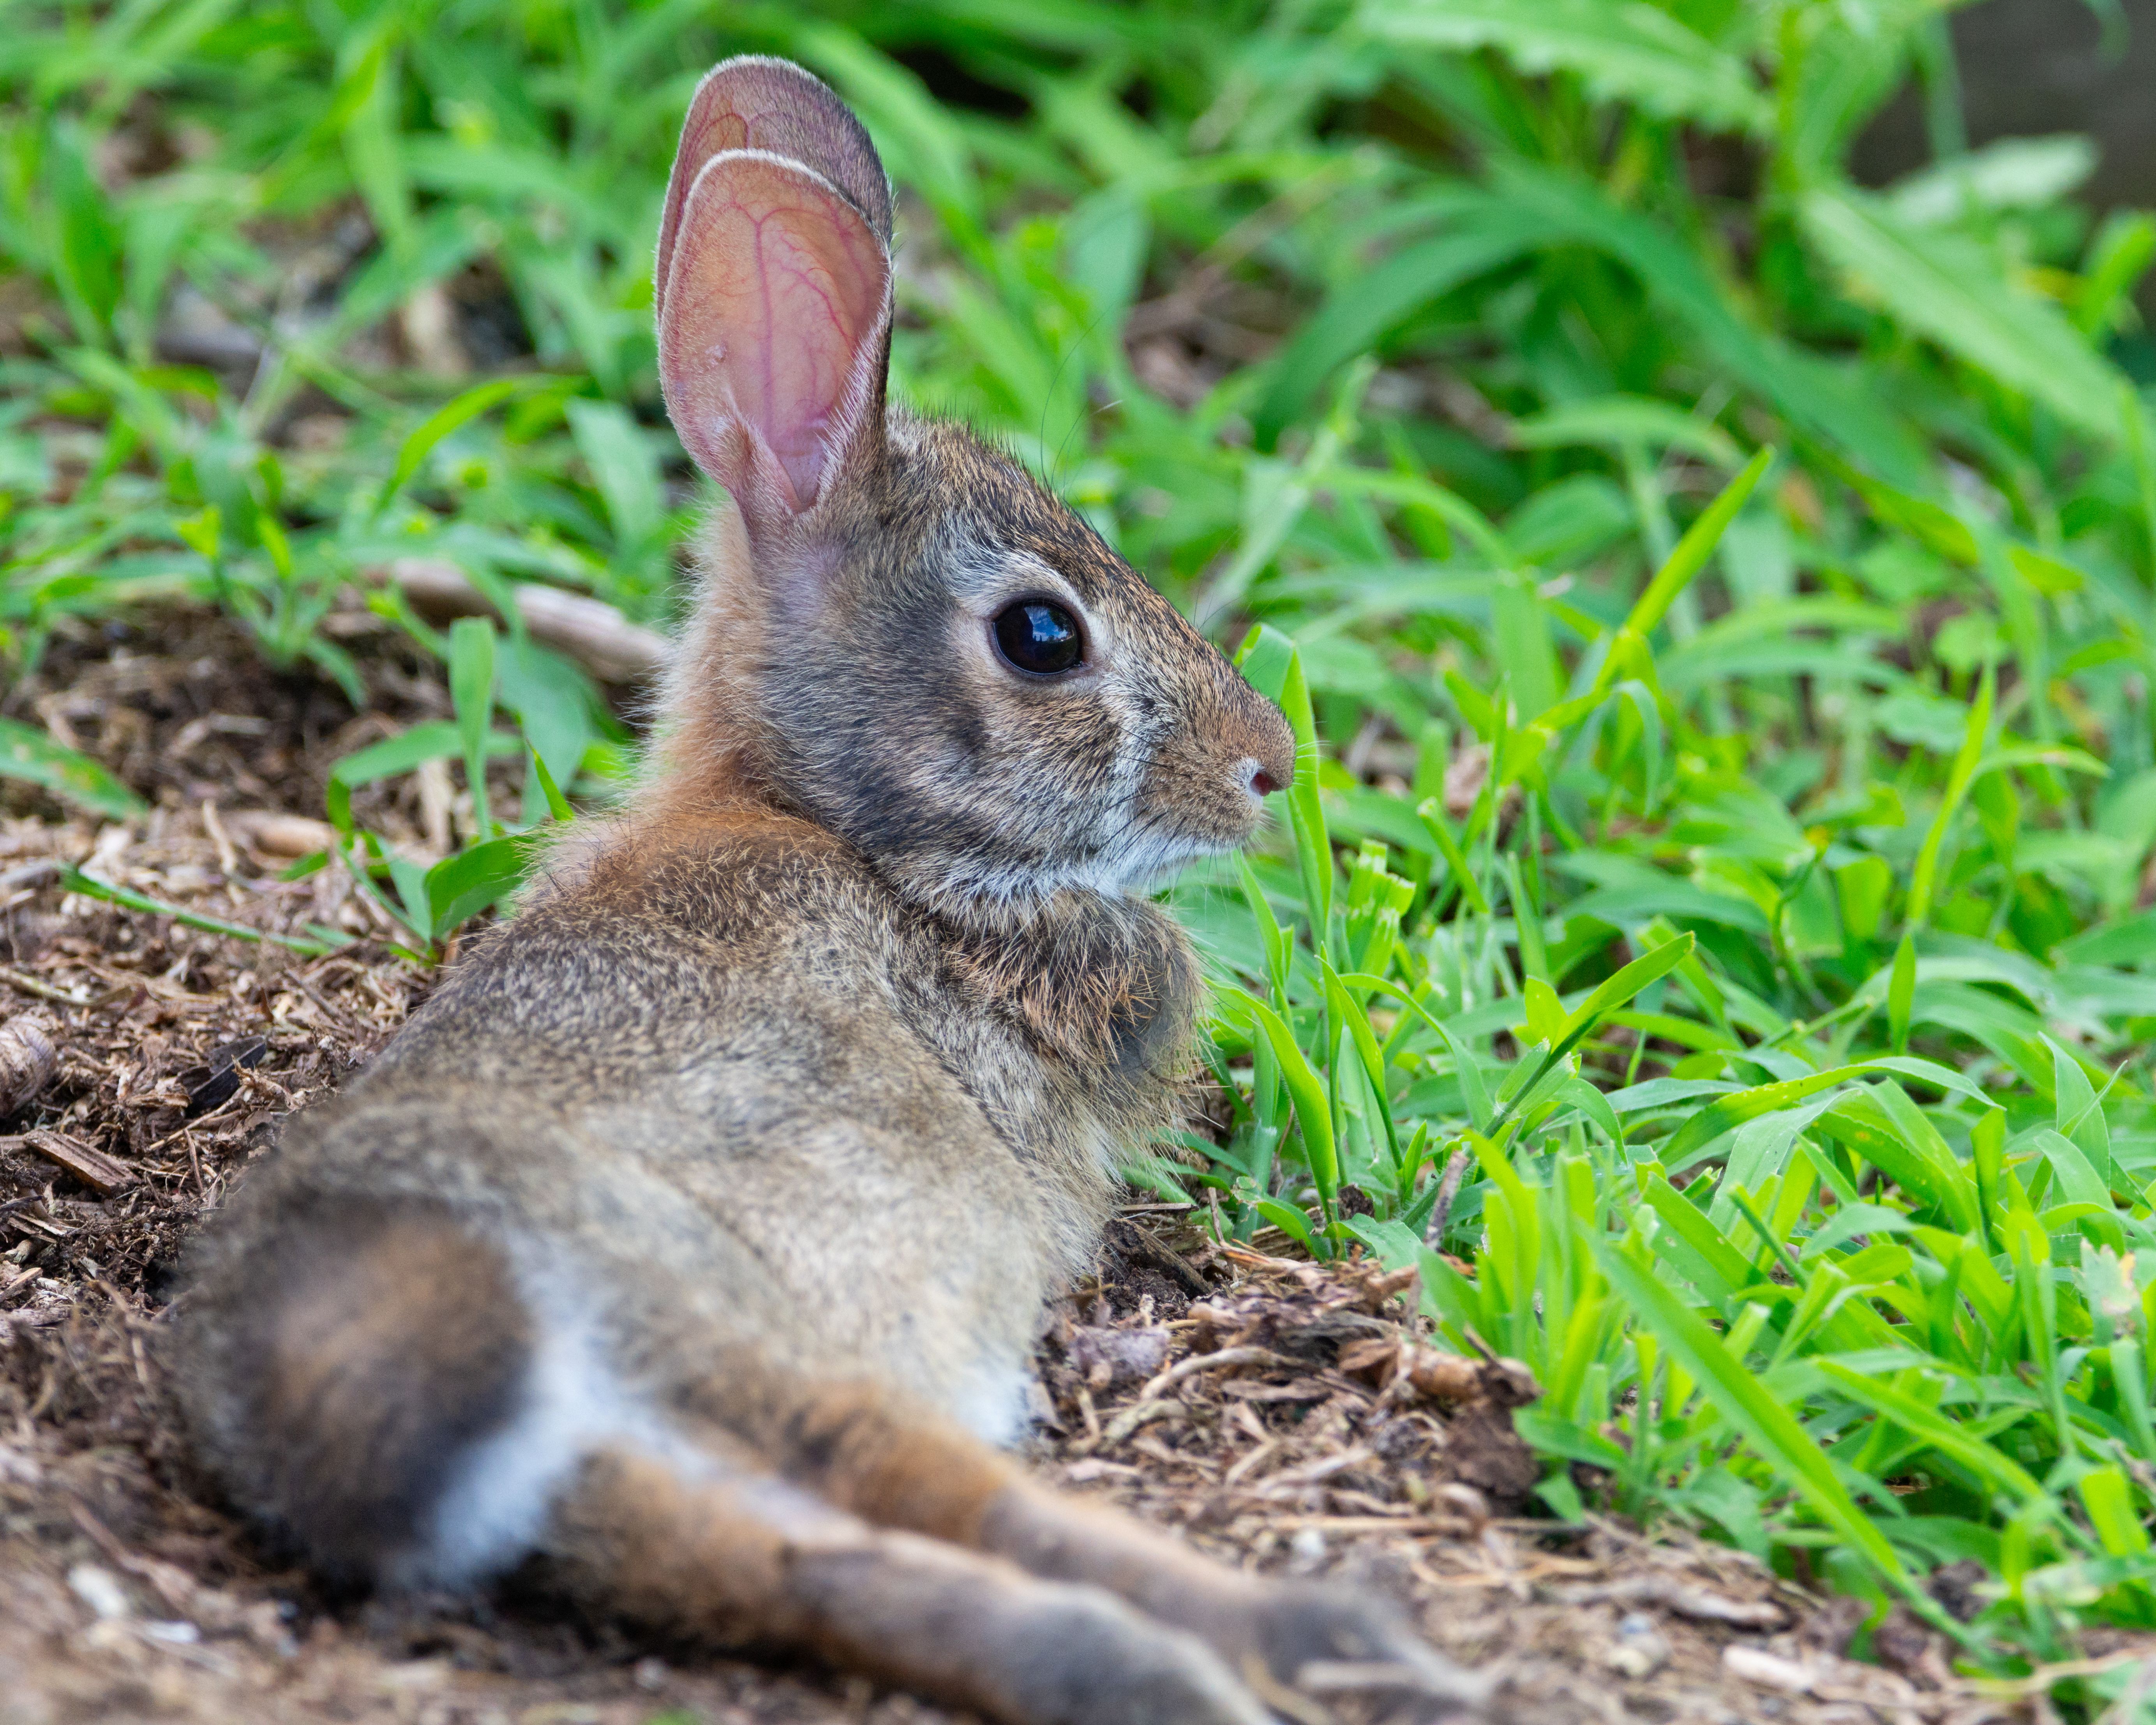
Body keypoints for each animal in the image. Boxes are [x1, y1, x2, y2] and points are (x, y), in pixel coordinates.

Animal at [171, 55, 1489, 1725]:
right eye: (1043, 636)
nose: (1266, 768)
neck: (850, 831)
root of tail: (316, 1371)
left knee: (805, 1559)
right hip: (736, 1312)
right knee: (925, 1492)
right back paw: (1316, 1646)